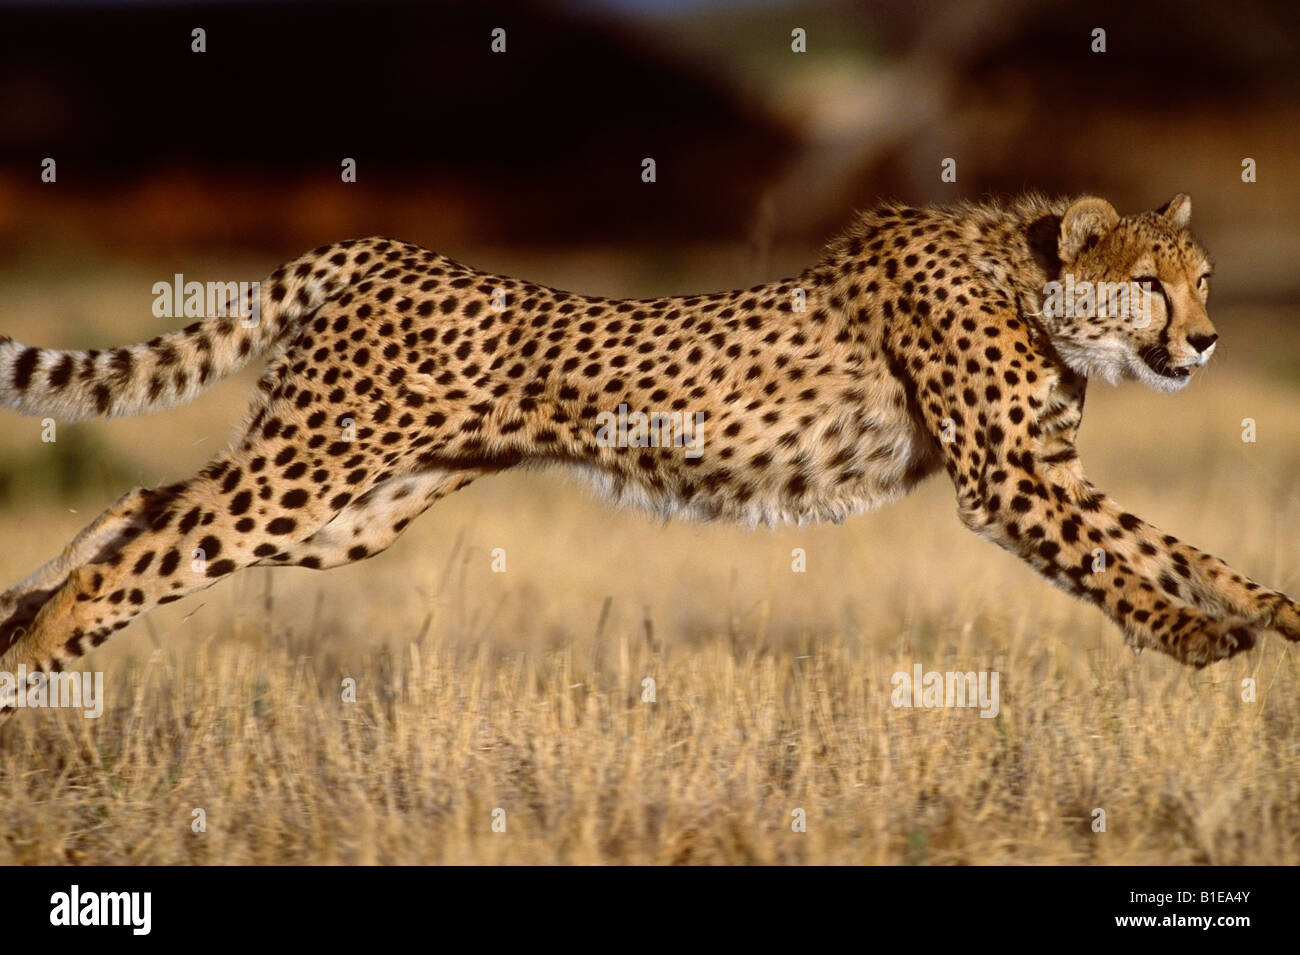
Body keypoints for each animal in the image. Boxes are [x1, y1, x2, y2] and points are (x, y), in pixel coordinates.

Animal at [1, 192, 1297, 722]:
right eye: (1152, 283)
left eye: (1202, 280)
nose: (1206, 337)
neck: (1026, 279)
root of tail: (377, 248)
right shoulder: (1008, 481)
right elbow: (1118, 565)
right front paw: (1192, 638)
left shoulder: (1048, 472)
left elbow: (1169, 546)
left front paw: (1266, 612)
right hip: (312, 471)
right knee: (149, 544)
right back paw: (41, 652)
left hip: (352, 506)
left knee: (150, 500)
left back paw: (20, 610)